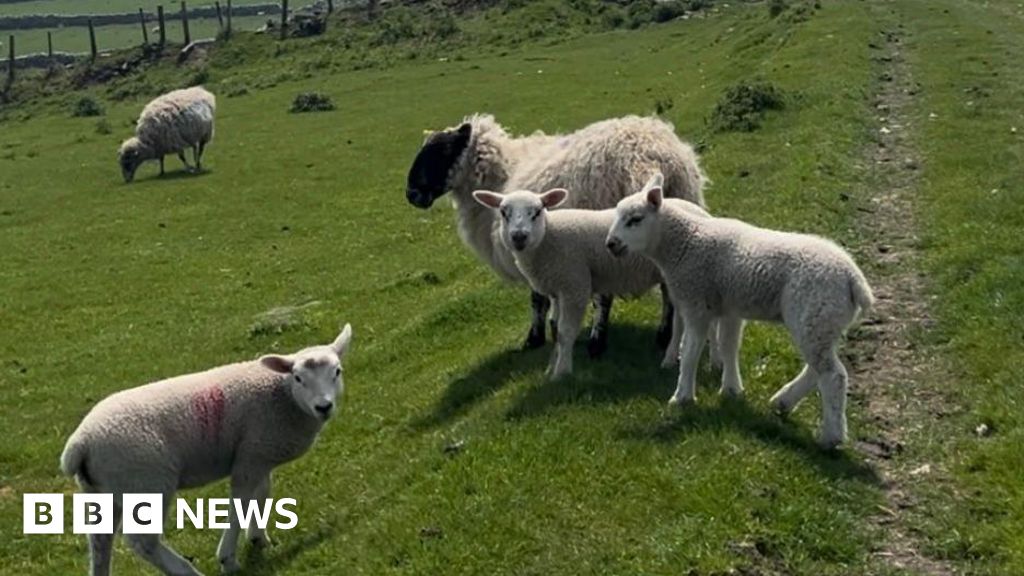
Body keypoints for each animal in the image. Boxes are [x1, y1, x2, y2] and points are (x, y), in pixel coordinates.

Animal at [60, 325, 353, 575]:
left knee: (100, 540)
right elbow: (243, 502)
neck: (282, 395)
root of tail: (81, 441)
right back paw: (186, 571)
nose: (323, 407)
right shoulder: (250, 456)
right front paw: (228, 558)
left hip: (104, 489)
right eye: (298, 378)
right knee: (143, 542)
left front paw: (259, 538)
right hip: (145, 481)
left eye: (337, 372)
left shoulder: (258, 453)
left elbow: (262, 494)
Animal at [405, 114, 707, 355]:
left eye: (444, 150)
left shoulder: (530, 248)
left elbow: (537, 297)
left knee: (605, 297)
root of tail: (647, 157)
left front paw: (535, 337)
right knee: (668, 287)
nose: (411, 194)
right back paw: (664, 335)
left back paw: (598, 342)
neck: (501, 176)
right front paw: (553, 325)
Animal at [473, 187, 713, 377]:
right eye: (504, 213)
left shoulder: (574, 285)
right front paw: (552, 366)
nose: (519, 236)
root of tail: (701, 211)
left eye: (538, 212)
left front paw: (561, 373)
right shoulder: (557, 289)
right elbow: (554, 328)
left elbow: (565, 332)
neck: (547, 239)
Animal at [606, 174, 874, 448]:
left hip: (814, 313)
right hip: (824, 322)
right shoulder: (729, 308)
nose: (611, 244)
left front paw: (682, 397)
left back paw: (831, 436)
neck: (684, 243)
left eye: (635, 219)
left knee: (832, 375)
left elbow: (690, 351)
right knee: (816, 368)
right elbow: (729, 346)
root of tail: (854, 280)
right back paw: (783, 402)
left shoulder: (696, 303)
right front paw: (731, 390)